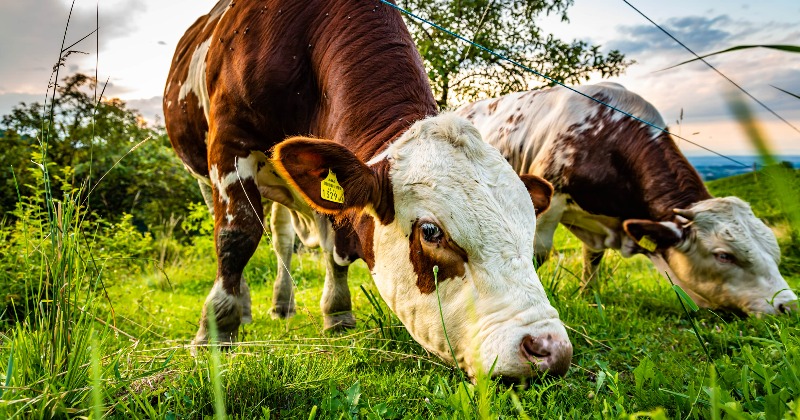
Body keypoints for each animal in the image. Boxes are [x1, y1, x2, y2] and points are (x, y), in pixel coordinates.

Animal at [163, 0, 572, 379]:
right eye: (430, 232)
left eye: (529, 229)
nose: (549, 350)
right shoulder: (229, 142)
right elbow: (237, 234)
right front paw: (217, 329)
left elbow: (334, 248)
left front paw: (338, 313)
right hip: (202, 172)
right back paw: (241, 308)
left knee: (282, 239)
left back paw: (281, 304)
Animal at [456, 82, 798, 315]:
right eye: (724, 255)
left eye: (775, 250)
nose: (788, 305)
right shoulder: (552, 197)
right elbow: (537, 254)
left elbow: (592, 259)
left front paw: (587, 296)